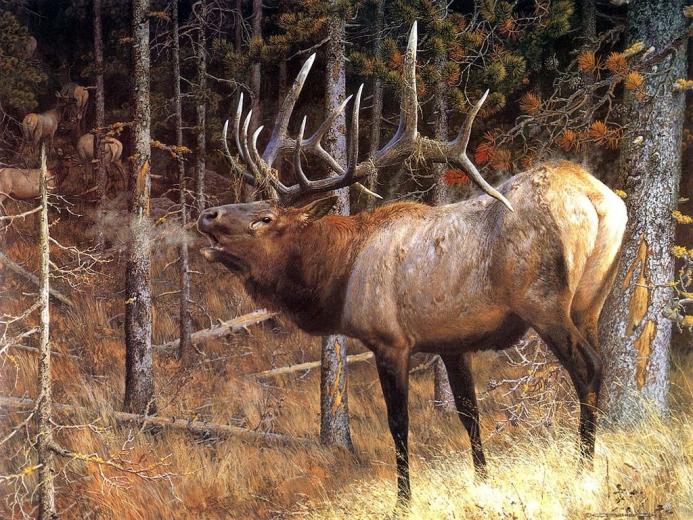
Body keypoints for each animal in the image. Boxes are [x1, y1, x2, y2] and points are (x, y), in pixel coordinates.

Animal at [197, 23, 627, 508]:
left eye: (265, 219)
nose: (207, 215)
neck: (340, 276)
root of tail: (594, 197)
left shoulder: (389, 338)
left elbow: (398, 424)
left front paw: (403, 498)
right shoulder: (452, 341)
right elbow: (468, 413)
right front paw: (482, 481)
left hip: (544, 300)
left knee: (587, 368)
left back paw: (583, 469)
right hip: (591, 300)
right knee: (601, 362)